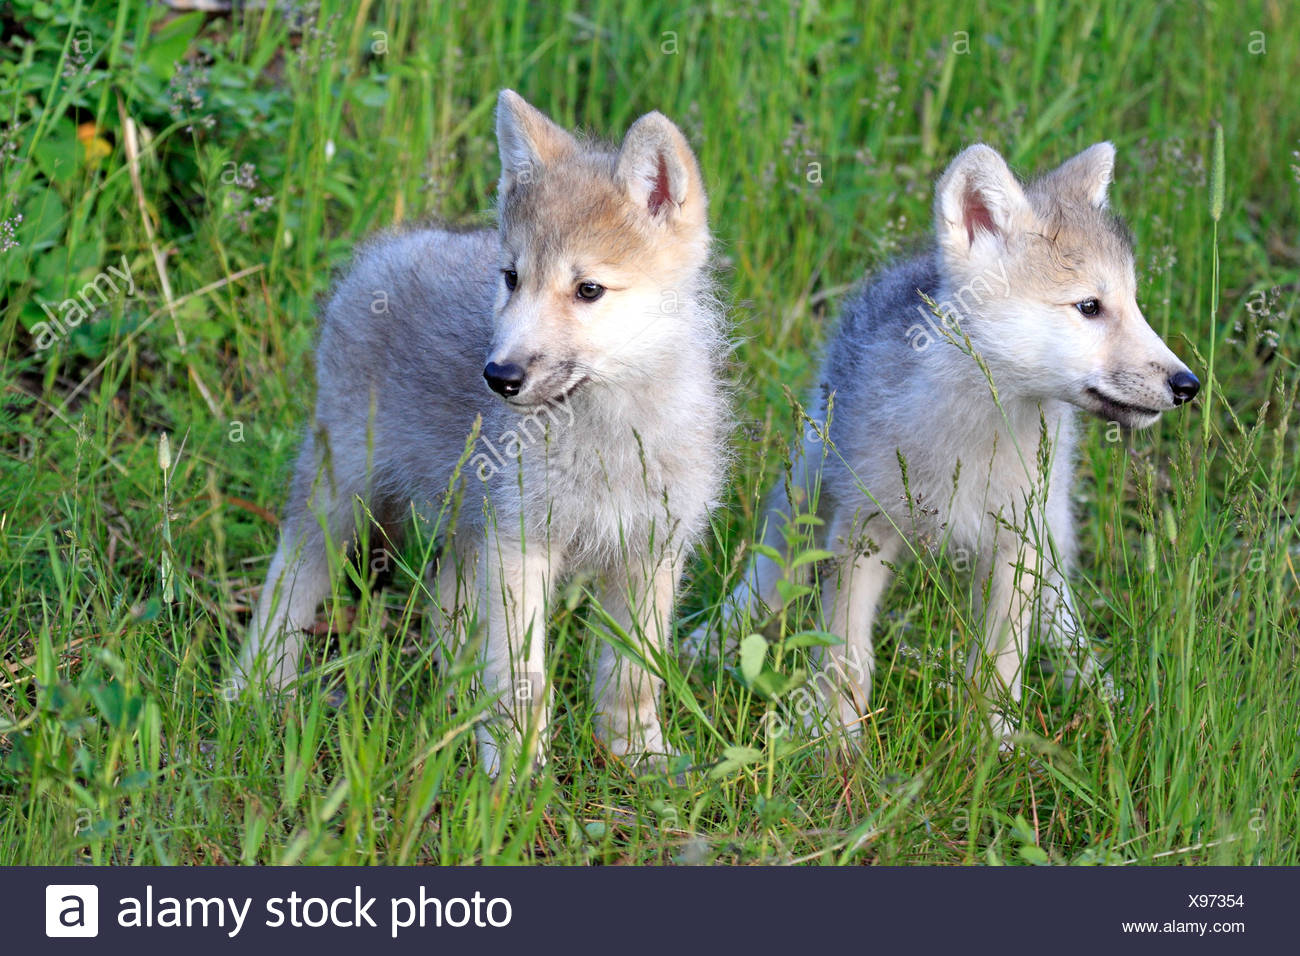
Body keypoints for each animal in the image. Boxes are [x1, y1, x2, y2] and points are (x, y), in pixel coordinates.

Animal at [235, 90, 728, 776]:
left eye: (588, 289)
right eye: (512, 277)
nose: (499, 376)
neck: (606, 429)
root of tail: (387, 248)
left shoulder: (650, 549)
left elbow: (631, 676)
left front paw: (637, 754)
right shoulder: (522, 546)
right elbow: (523, 677)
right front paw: (517, 775)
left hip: (467, 526)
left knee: (445, 609)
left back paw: (453, 707)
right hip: (341, 496)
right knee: (291, 580)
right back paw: (253, 689)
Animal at [690, 142, 1199, 744]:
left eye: (1135, 303)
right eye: (1090, 307)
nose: (1188, 385)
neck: (974, 432)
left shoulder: (1016, 543)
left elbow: (1000, 664)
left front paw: (996, 744)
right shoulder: (863, 529)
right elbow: (846, 653)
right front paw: (836, 737)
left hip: (1048, 525)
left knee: (1061, 611)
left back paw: (1099, 687)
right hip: (810, 486)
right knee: (767, 576)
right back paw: (709, 641)